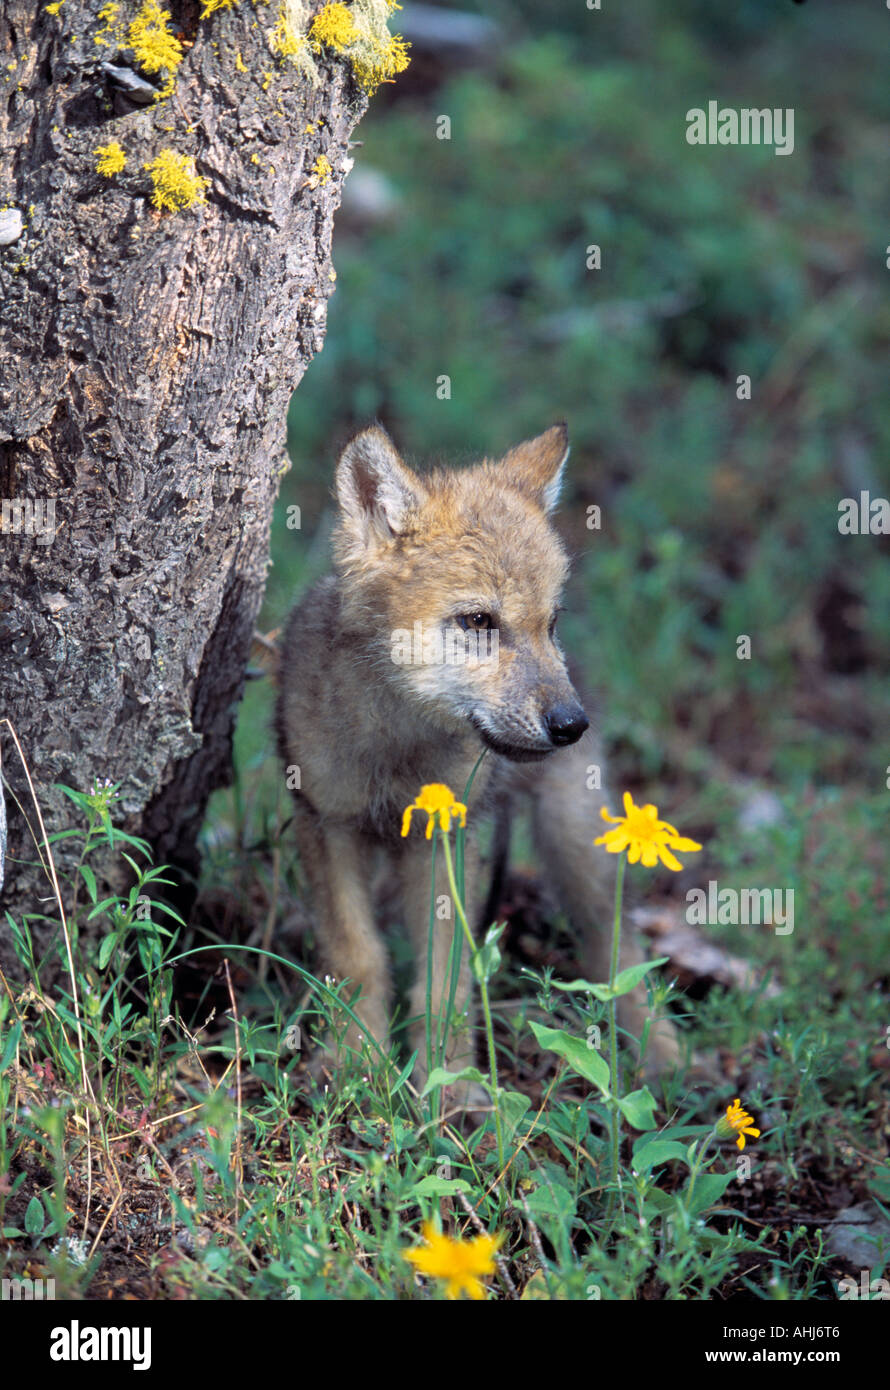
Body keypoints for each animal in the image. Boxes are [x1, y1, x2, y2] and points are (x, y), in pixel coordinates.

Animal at [276, 423, 684, 1096]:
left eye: (550, 623)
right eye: (477, 621)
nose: (571, 724)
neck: (396, 747)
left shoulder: (448, 841)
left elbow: (446, 980)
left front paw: (451, 1087)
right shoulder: (326, 825)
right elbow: (359, 957)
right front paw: (357, 1065)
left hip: (575, 841)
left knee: (617, 946)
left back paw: (664, 1060)